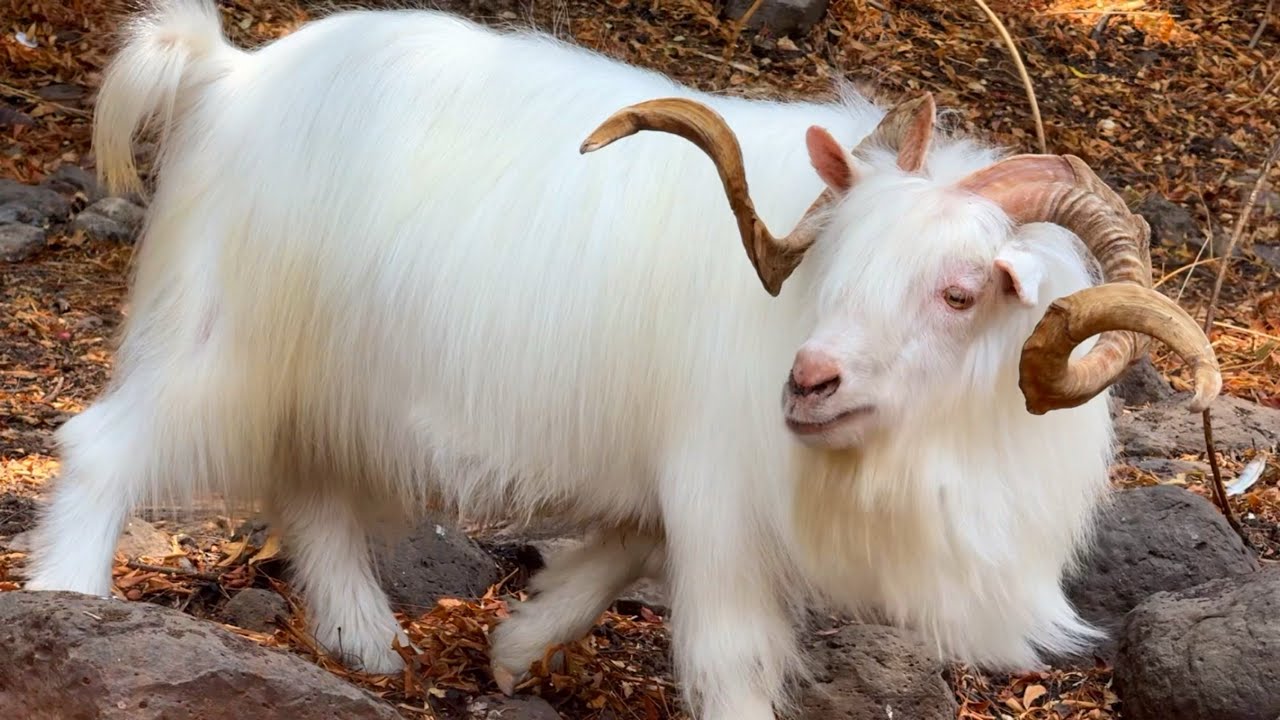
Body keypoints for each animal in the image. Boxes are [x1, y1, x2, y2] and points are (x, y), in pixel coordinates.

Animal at [23, 2, 1221, 719]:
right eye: (833, 269)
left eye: (959, 291)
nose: (808, 384)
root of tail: (234, 75)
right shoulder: (723, 501)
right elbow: (727, 658)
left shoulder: (679, 479)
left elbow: (615, 550)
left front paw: (517, 648)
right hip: (220, 344)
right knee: (104, 446)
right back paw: (71, 600)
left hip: (325, 376)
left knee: (312, 490)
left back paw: (367, 644)